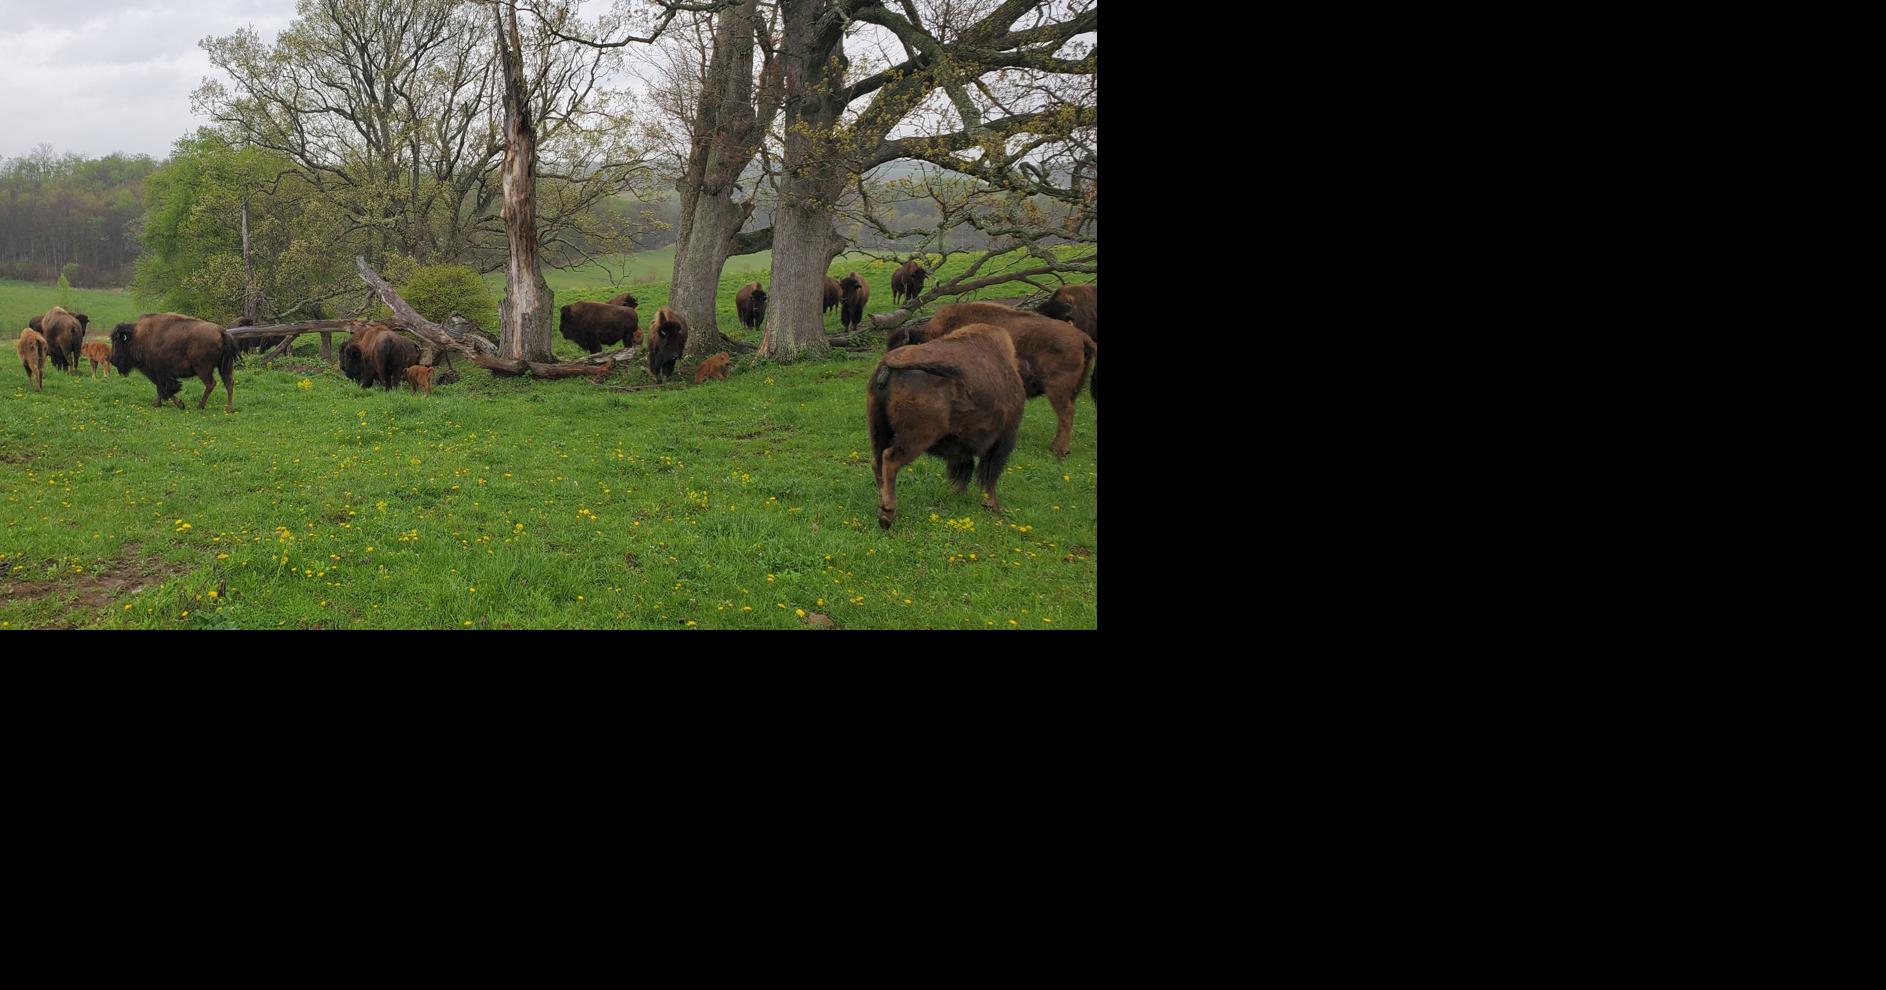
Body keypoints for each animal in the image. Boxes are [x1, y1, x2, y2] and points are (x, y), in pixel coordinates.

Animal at [108, 313, 238, 413]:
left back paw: (200, 406)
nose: (112, 360)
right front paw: (157, 403)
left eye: (117, 341)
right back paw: (229, 409)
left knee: (211, 384)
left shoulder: (160, 373)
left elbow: (166, 389)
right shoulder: (159, 374)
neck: (137, 336)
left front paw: (180, 404)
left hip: (203, 369)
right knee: (229, 383)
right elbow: (161, 389)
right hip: (224, 366)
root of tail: (222, 332)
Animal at [867, 323, 1026, 530]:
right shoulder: (1004, 439)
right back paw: (887, 514)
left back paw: (882, 508)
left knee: (877, 462)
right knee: (890, 460)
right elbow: (990, 474)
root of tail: (889, 361)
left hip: (879, 431)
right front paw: (992, 505)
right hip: (916, 438)